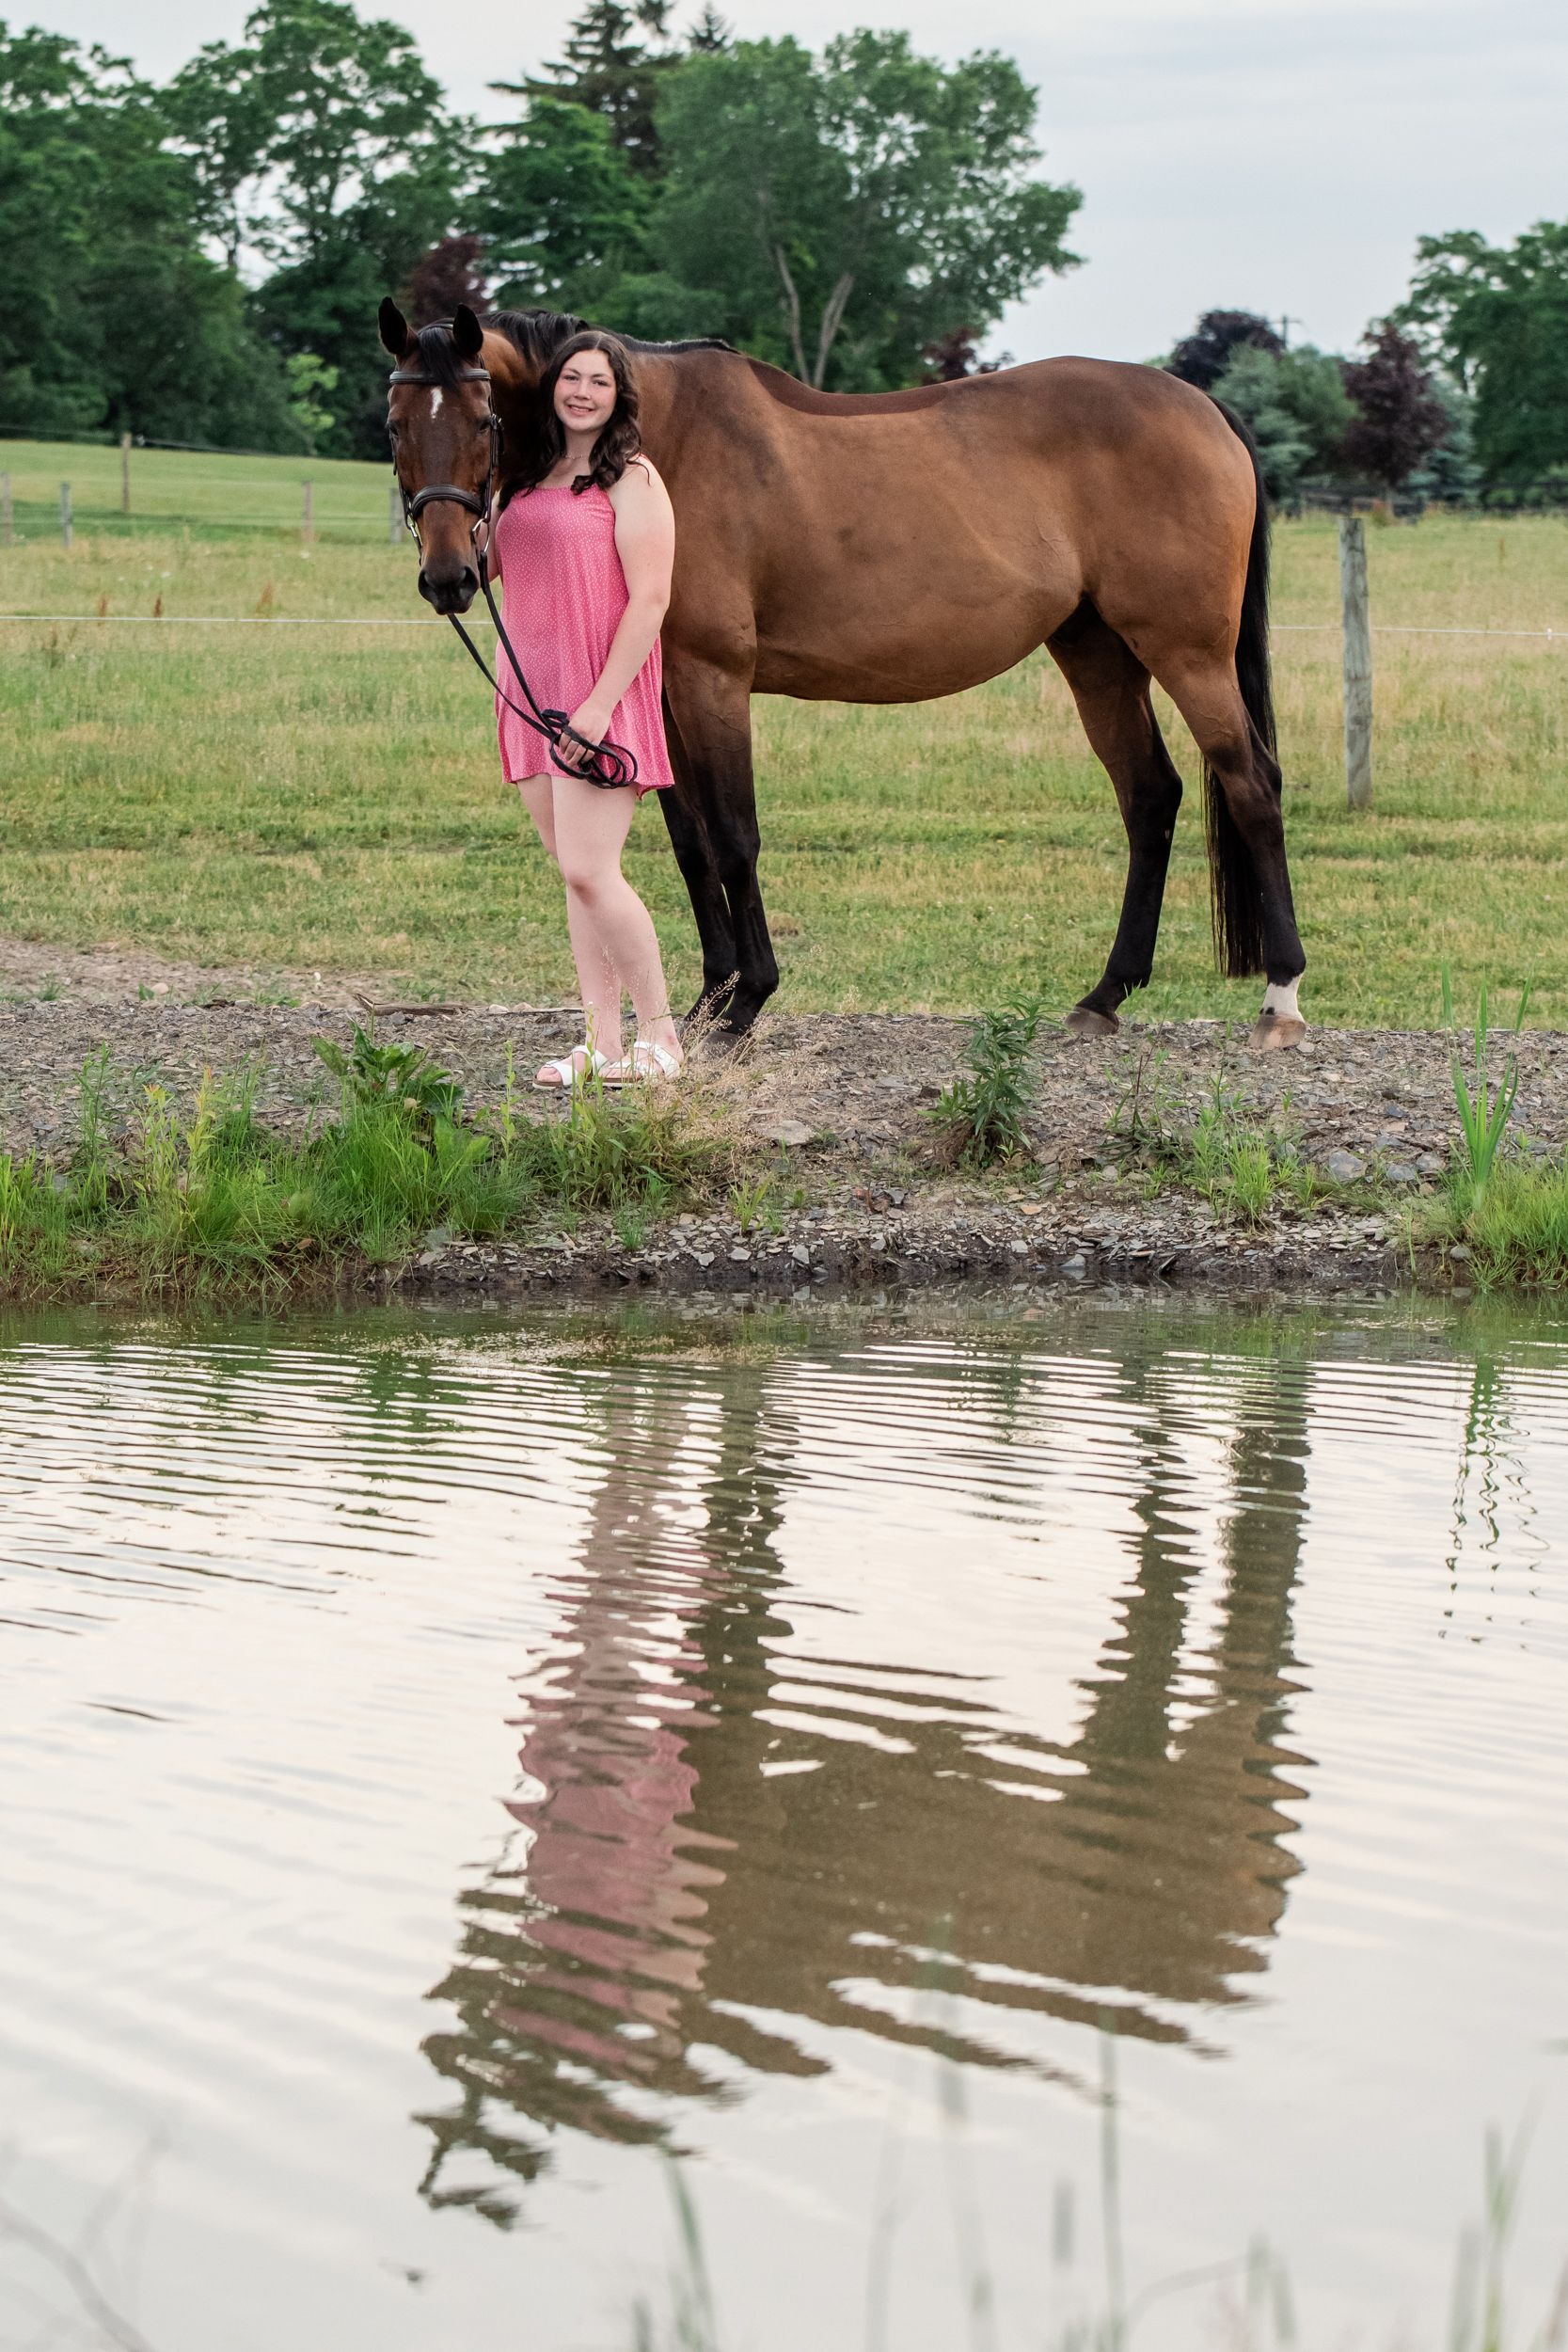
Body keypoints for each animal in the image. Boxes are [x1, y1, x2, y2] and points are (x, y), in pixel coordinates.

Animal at [378, 297, 1307, 1051]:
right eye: (394, 424)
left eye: (484, 419)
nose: (448, 579)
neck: (652, 444)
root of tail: (1202, 407)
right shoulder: (656, 692)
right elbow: (689, 843)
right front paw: (709, 998)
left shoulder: (712, 680)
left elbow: (735, 837)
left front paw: (746, 1001)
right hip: (1096, 652)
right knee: (1149, 796)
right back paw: (1105, 993)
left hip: (1187, 652)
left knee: (1251, 785)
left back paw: (1280, 998)